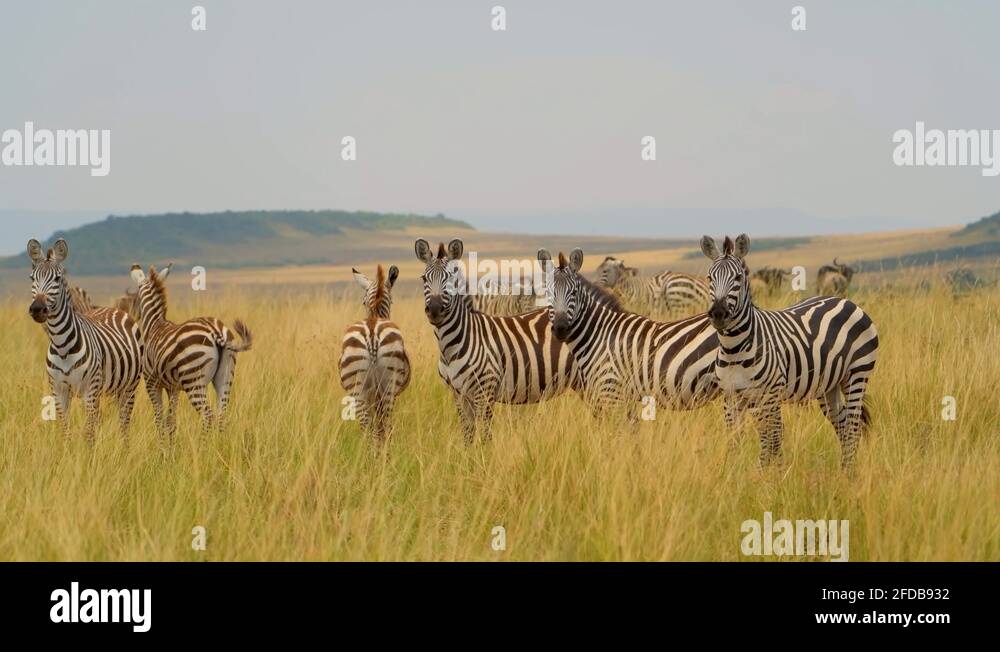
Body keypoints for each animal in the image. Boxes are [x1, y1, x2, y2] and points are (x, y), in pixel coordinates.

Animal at [27, 238, 143, 446]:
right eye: (32, 278)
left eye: (57, 279)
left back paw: (125, 448)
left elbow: (89, 433)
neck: (62, 346)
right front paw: (66, 453)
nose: (38, 309)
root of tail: (113, 309)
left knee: (124, 424)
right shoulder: (59, 390)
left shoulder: (90, 389)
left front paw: (90, 454)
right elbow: (65, 431)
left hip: (129, 387)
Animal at [129, 264, 252, 442]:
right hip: (226, 375)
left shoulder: (151, 382)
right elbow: (171, 421)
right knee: (221, 416)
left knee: (208, 417)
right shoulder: (173, 388)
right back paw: (219, 446)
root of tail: (216, 332)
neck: (154, 324)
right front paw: (170, 445)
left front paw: (162, 446)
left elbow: (159, 419)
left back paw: (204, 446)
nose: (133, 314)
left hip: (193, 380)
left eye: (135, 298)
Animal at [339, 265, 411, 444]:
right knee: (383, 424)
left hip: (359, 387)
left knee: (368, 426)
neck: (375, 315)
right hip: (387, 387)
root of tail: (371, 333)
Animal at [415, 238, 580, 442]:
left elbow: (486, 435)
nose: (435, 310)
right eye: (424, 279)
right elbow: (468, 434)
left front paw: (485, 451)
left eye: (451, 280)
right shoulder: (458, 394)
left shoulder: (485, 390)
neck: (452, 346)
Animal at [702, 234, 879, 469]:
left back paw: (849, 472)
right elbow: (734, 440)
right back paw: (845, 471)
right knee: (842, 426)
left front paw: (769, 474)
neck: (734, 349)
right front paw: (734, 471)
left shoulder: (769, 396)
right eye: (709, 277)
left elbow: (772, 440)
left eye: (738, 277)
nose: (718, 314)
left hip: (857, 374)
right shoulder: (730, 398)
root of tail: (846, 300)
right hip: (828, 386)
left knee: (852, 426)